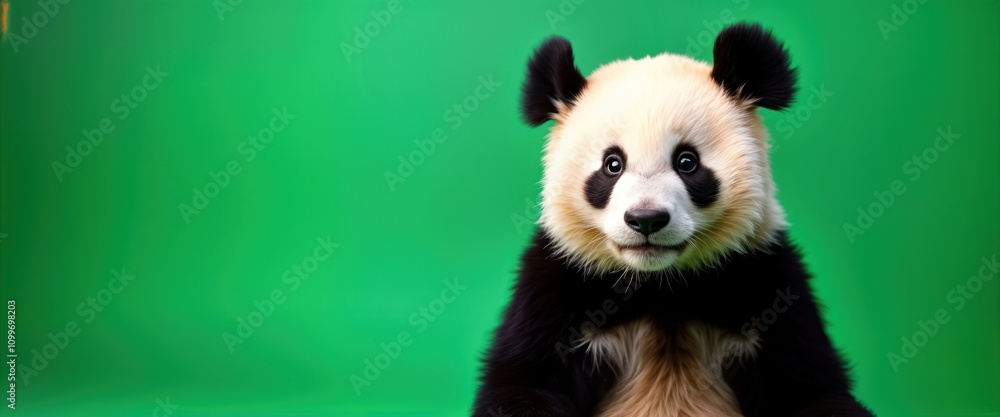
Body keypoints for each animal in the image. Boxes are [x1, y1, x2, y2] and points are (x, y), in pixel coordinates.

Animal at [471, 23, 875, 417]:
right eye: (612, 164)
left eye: (687, 161)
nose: (646, 219)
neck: (661, 285)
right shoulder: (557, 284)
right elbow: (523, 383)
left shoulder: (767, 279)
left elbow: (811, 388)